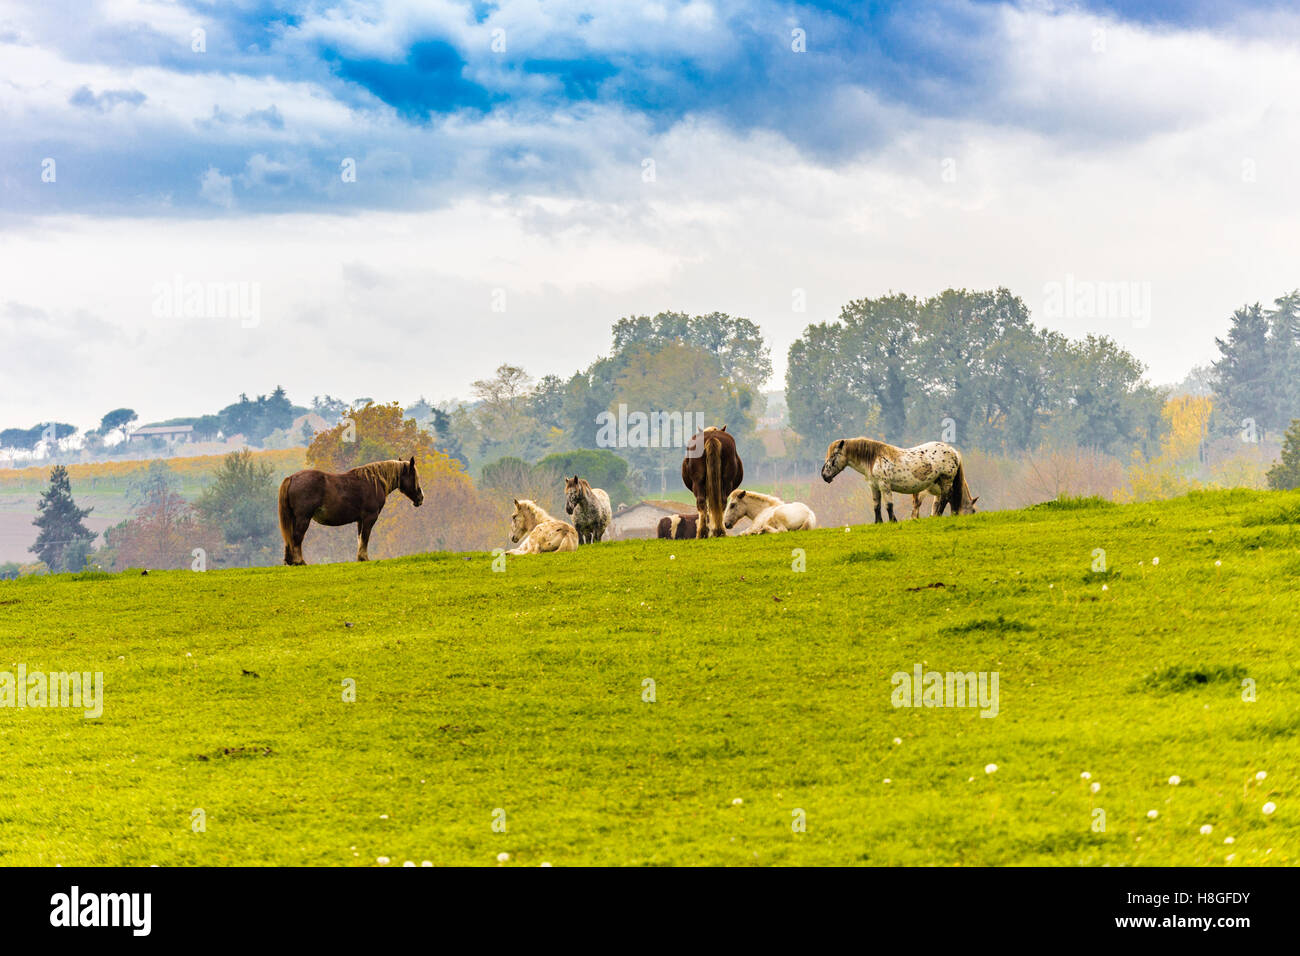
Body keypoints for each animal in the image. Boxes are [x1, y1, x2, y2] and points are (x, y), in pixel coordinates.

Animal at [278, 457, 423, 565]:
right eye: (415, 477)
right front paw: (364, 558)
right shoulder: (369, 517)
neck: (374, 482)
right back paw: (299, 561)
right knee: (297, 537)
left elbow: (360, 538)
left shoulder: (360, 520)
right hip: (303, 518)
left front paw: (360, 557)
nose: (420, 498)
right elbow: (365, 537)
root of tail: (291, 478)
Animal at [822, 438, 975, 523]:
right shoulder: (874, 487)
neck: (874, 459)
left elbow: (889, 505)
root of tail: (954, 452)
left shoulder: (885, 486)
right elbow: (876, 506)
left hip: (946, 480)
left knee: (945, 498)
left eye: (834, 455)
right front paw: (878, 522)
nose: (824, 476)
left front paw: (893, 521)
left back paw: (937, 516)